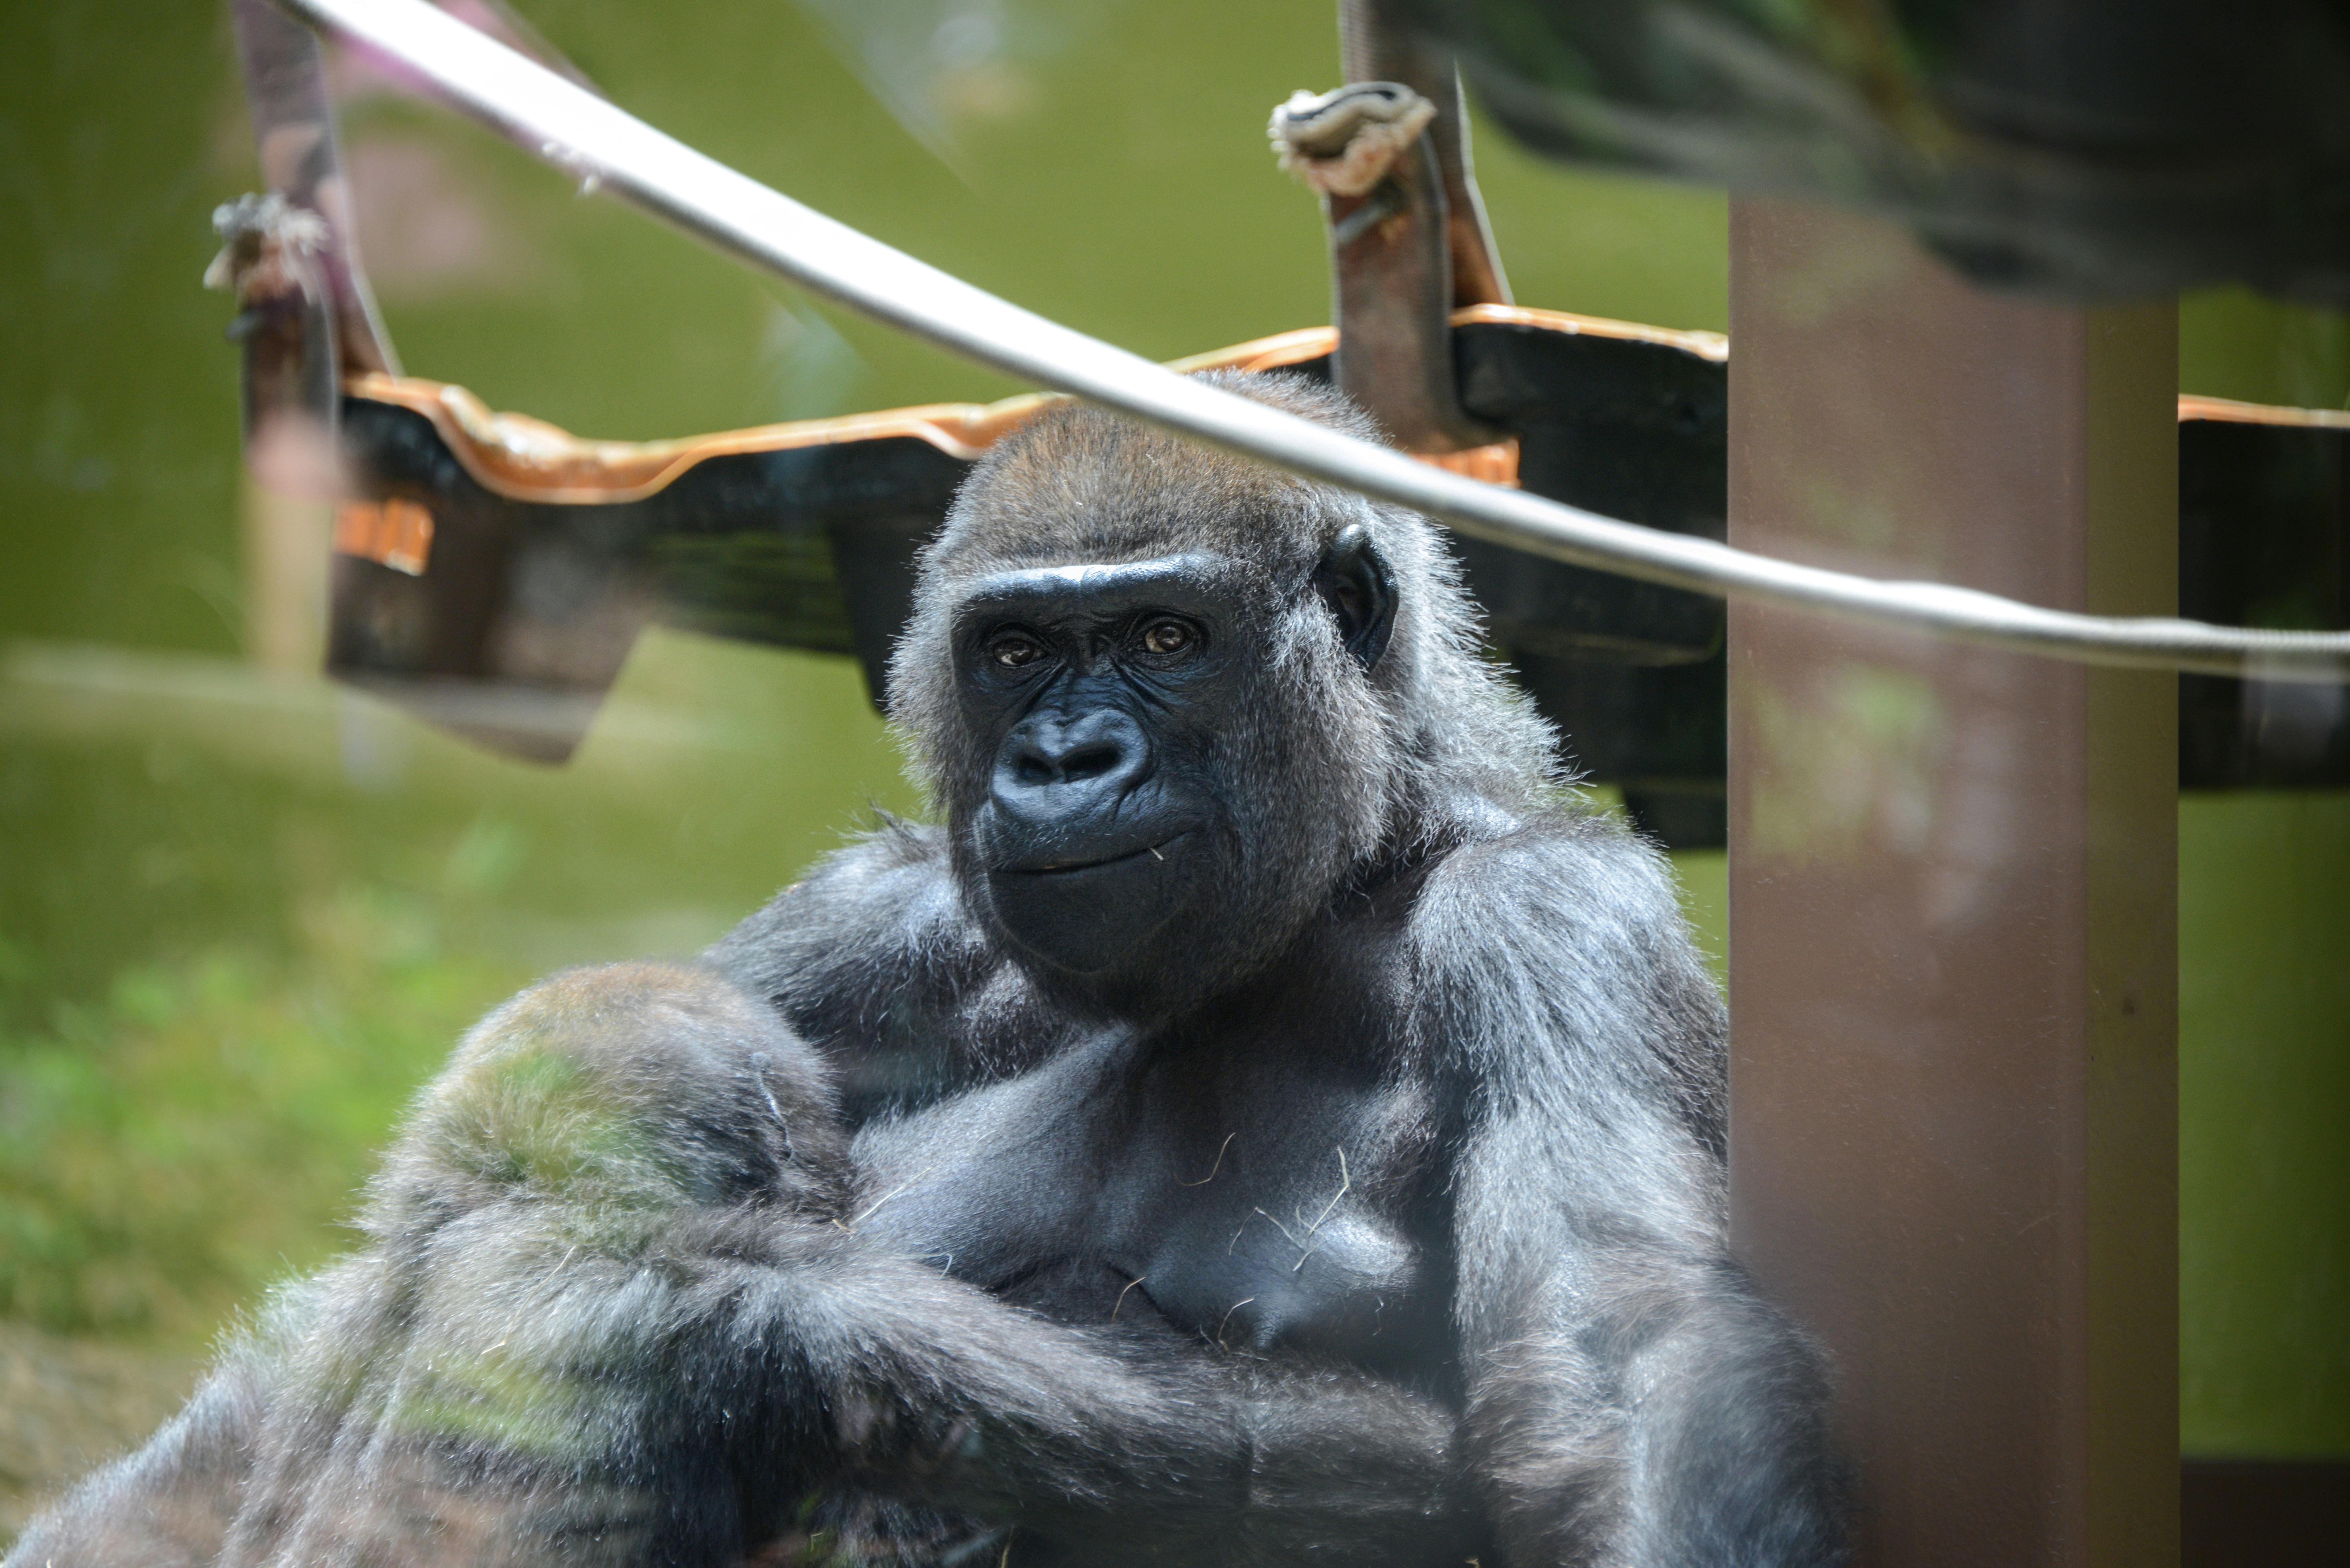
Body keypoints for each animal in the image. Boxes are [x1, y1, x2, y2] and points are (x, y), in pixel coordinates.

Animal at [7, 372, 1845, 1568]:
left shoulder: (1559, 920)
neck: (1354, 865)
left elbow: (1616, 1367)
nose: (1066, 761)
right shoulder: (871, 913)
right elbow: (404, 1251)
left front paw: (730, 1339)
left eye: (1164, 637)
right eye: (1017, 649)